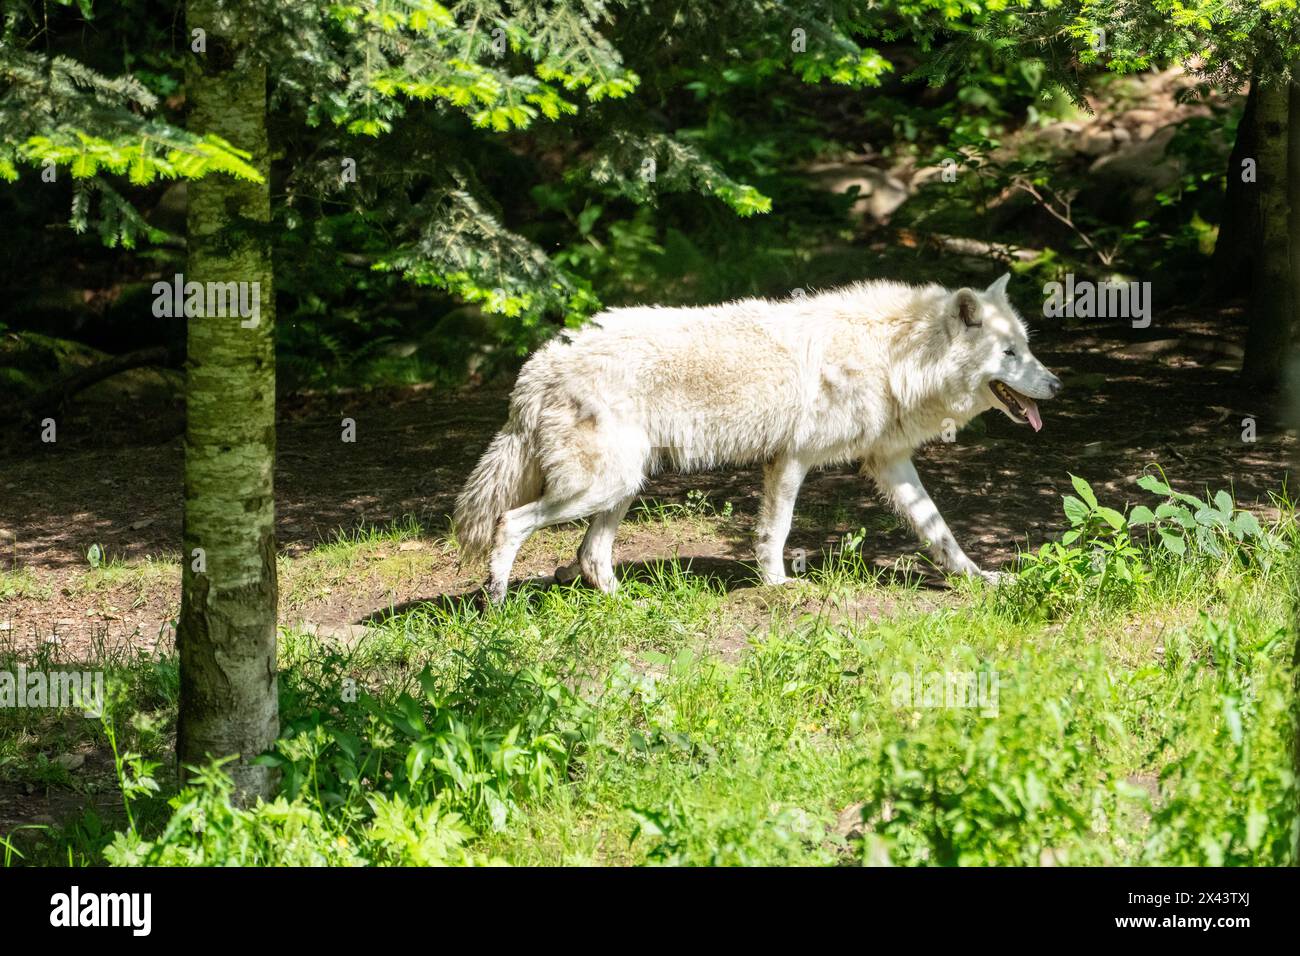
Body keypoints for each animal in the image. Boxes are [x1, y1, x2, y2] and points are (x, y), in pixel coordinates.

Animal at [455, 274, 1062, 601]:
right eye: (1009, 354)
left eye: (1028, 347)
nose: (1057, 384)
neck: (895, 358)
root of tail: (536, 368)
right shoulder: (793, 458)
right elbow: (777, 530)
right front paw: (777, 586)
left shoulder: (889, 462)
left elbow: (942, 533)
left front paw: (981, 578)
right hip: (600, 486)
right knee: (511, 522)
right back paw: (498, 600)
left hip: (623, 485)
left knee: (590, 555)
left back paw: (629, 605)